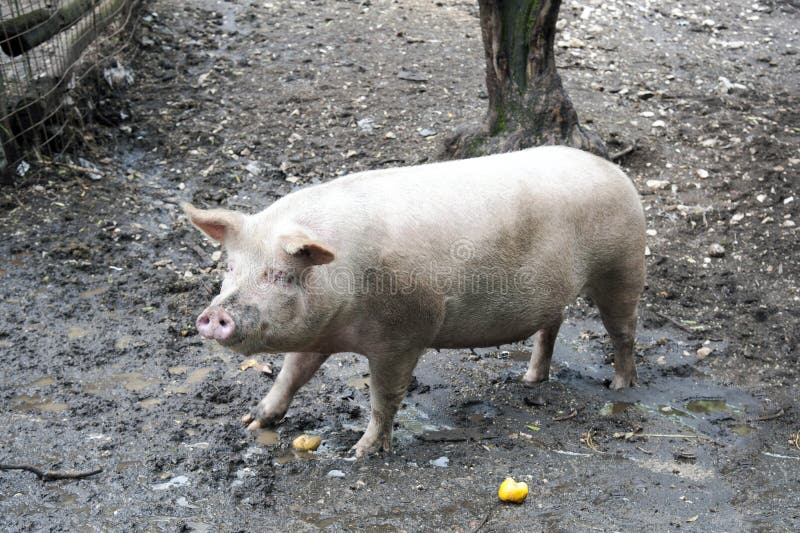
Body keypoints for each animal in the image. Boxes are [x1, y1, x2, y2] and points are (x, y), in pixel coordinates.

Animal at [184, 145, 646, 458]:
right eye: (230, 267)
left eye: (279, 274)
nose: (215, 314)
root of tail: (617, 172)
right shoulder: (319, 333)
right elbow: (291, 375)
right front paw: (250, 422)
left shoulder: (406, 332)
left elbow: (384, 395)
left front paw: (361, 453)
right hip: (563, 291)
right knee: (553, 325)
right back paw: (531, 380)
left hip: (622, 269)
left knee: (624, 333)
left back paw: (619, 387)